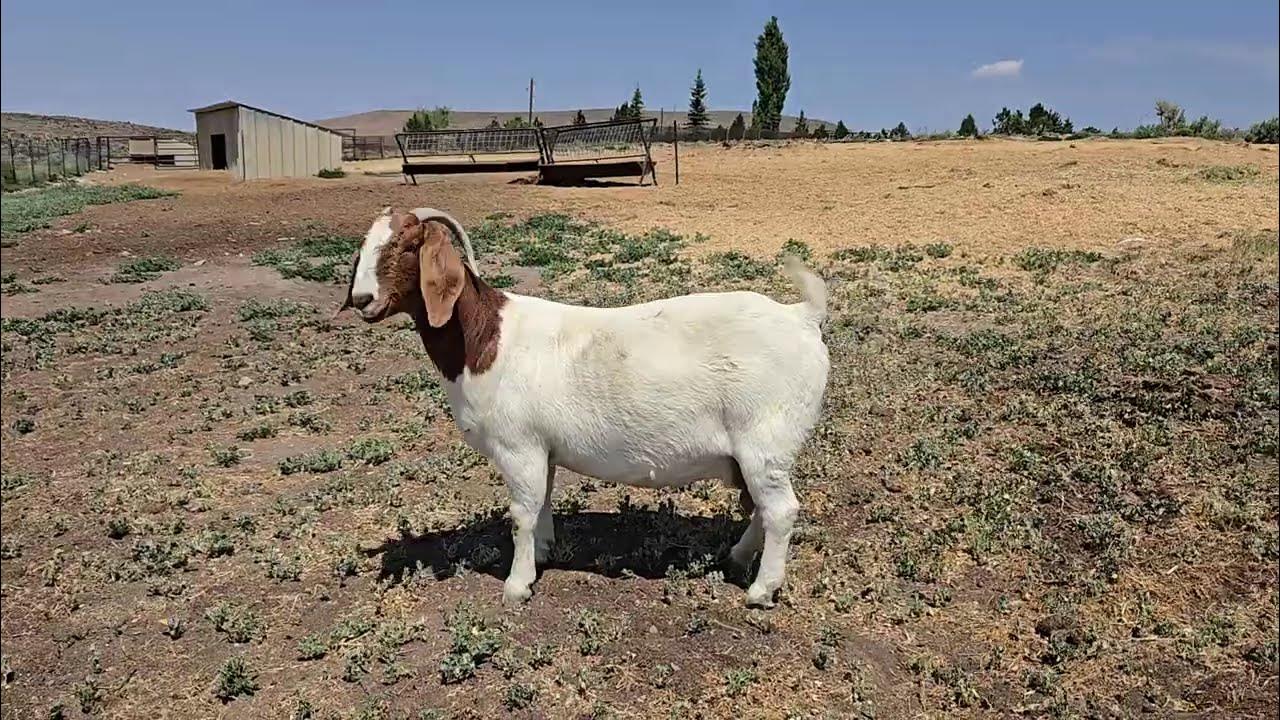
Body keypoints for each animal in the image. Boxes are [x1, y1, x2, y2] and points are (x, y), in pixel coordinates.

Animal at [342, 207, 829, 607]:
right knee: (761, 509)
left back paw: (761, 590)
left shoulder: (518, 446)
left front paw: (516, 586)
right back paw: (736, 557)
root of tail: (801, 317)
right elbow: (542, 501)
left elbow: (521, 513)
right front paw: (543, 552)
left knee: (781, 510)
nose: (363, 300)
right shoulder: (543, 449)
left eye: (408, 245)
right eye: (363, 247)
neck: (486, 340)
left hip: (765, 441)